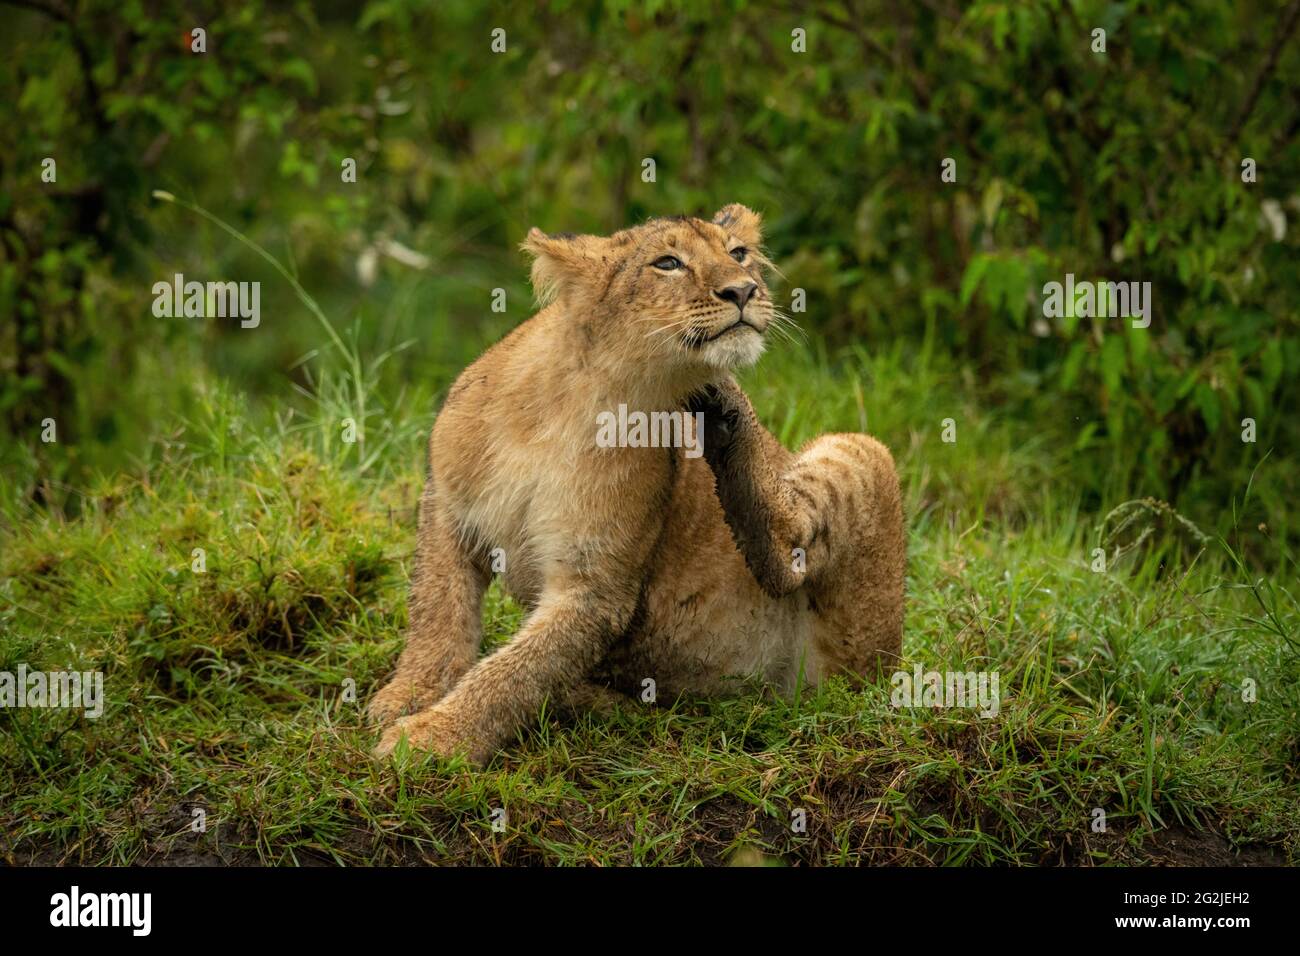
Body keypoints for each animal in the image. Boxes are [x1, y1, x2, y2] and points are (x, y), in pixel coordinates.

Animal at [370, 204, 904, 763]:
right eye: (667, 263)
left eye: (738, 254)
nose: (743, 290)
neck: (577, 401)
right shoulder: (445, 511)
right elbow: (437, 615)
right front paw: (409, 696)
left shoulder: (595, 585)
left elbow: (516, 672)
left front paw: (430, 738)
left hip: (864, 472)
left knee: (789, 553)